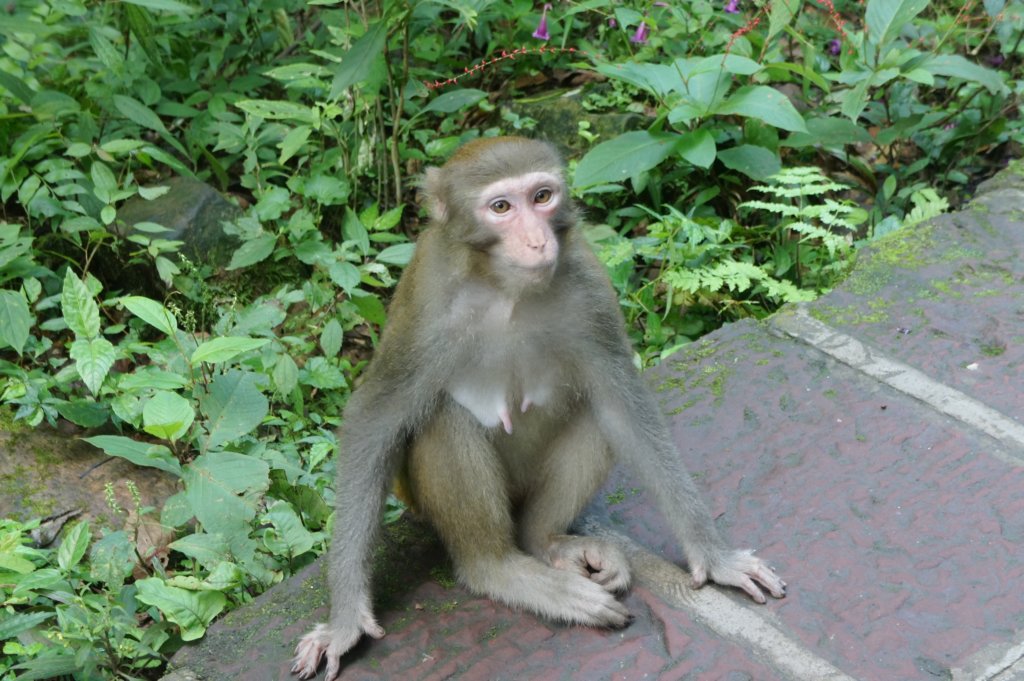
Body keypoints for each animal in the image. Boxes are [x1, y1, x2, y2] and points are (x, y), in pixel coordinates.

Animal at [292, 136, 785, 680]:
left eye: (543, 197)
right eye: (501, 208)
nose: (535, 241)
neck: (505, 287)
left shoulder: (588, 285)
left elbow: (623, 406)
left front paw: (714, 557)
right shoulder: (428, 303)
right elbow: (375, 417)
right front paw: (345, 622)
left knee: (594, 414)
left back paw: (544, 541)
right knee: (442, 420)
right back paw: (502, 570)